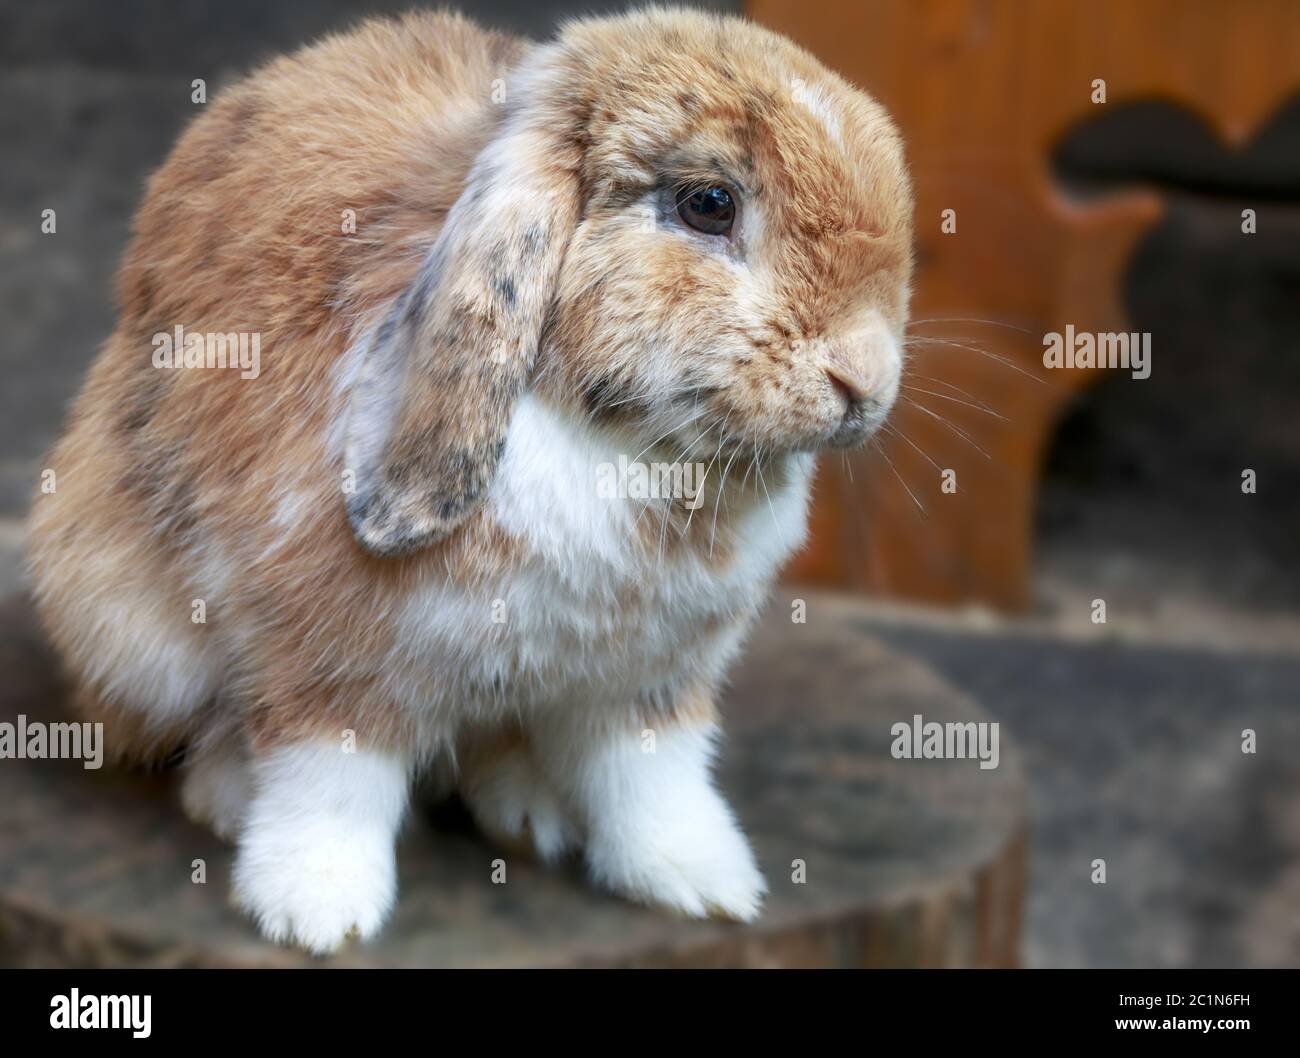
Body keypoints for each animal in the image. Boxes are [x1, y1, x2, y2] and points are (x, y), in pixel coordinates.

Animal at [26, 6, 913, 954]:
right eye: (708, 204)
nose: (864, 380)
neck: (632, 452)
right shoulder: (331, 657)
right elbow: (327, 781)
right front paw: (316, 912)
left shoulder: (652, 684)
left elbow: (657, 785)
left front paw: (705, 886)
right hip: (129, 626)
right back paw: (228, 795)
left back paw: (529, 811)